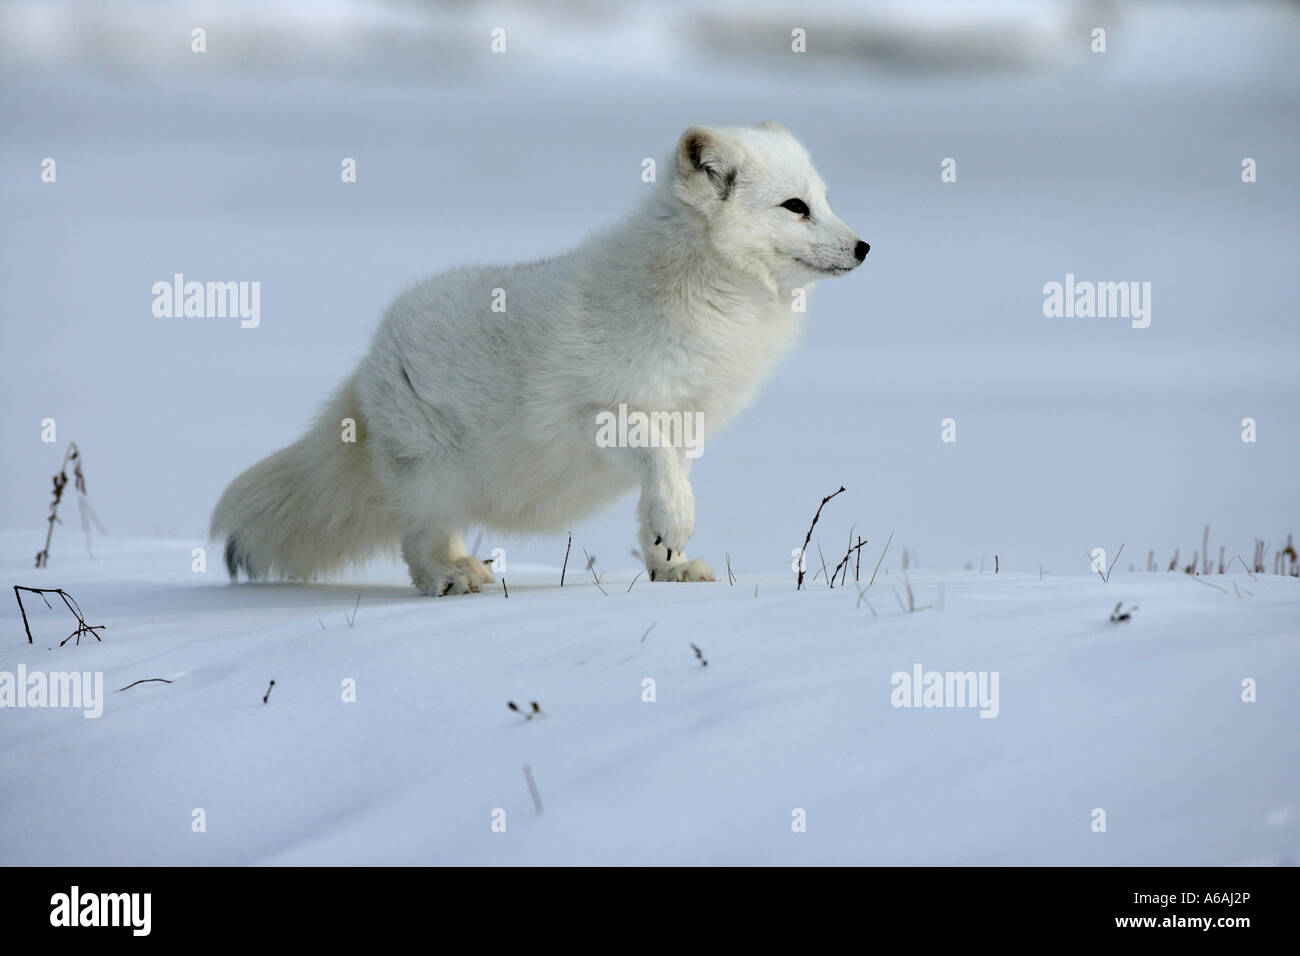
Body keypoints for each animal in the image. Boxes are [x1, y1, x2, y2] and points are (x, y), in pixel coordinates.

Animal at [211, 122, 868, 595]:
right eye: (795, 206)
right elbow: (668, 488)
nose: (864, 247)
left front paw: (670, 566)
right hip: (434, 475)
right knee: (417, 544)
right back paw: (450, 579)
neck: (704, 295)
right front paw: (675, 536)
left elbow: (659, 500)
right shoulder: (609, 413)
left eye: (825, 200)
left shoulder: (684, 426)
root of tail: (369, 354)